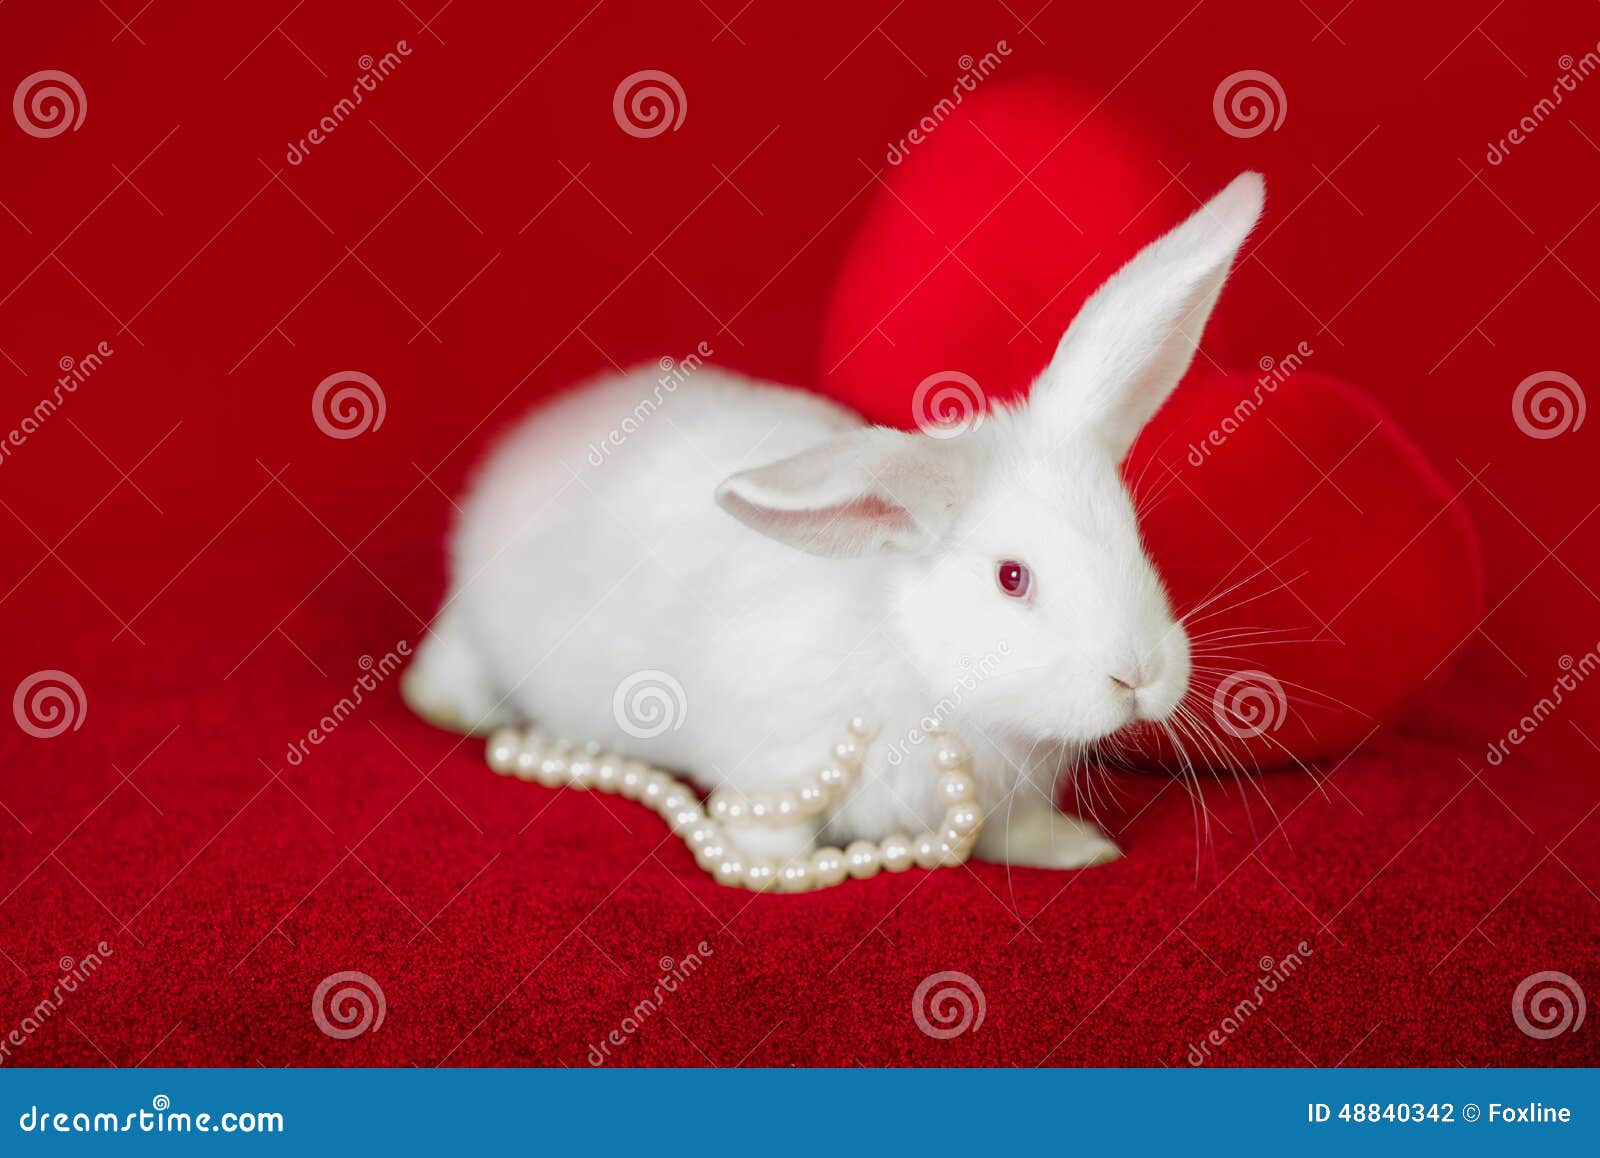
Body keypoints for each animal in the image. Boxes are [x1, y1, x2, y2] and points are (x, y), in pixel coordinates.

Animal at [402, 171, 1265, 869]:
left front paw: (1078, 852)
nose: (1139, 677)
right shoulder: (774, 754)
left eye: (1135, 539)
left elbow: (1020, 830)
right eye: (1012, 578)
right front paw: (771, 866)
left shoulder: (1009, 796)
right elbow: (770, 822)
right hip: (482, 619)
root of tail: (531, 442)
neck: (927, 676)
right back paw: (449, 706)